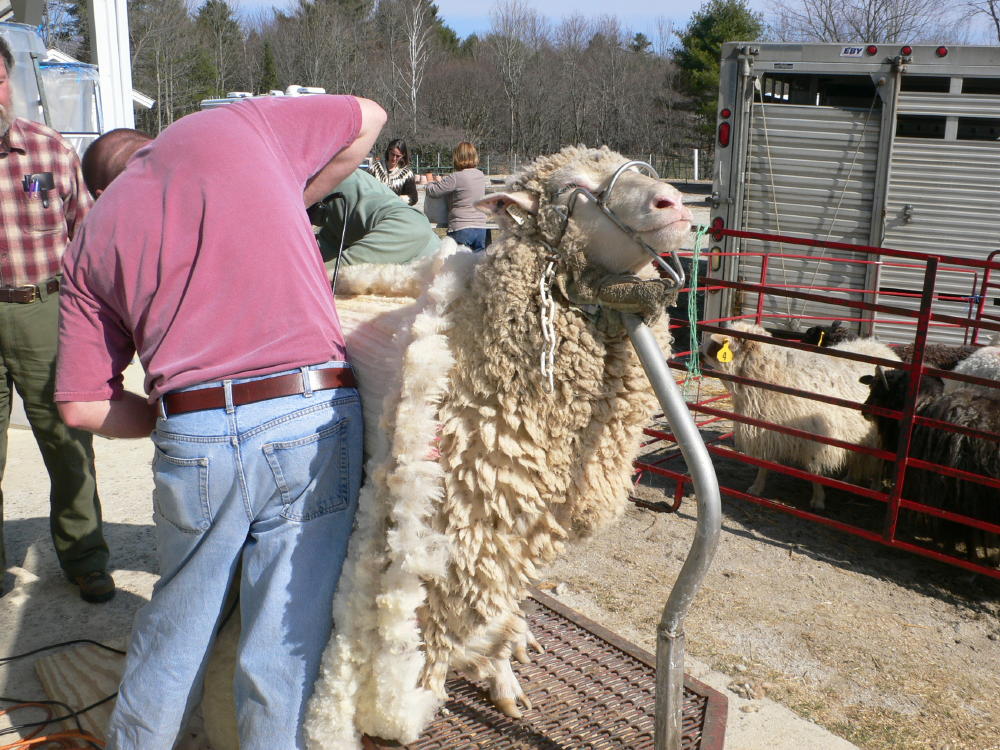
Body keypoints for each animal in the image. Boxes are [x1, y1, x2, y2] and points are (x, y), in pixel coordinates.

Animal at [296, 145, 693, 749]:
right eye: (573, 186)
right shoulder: (459, 533)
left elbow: (496, 606)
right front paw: (437, 693)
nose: (673, 202)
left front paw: (505, 671)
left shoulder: (515, 524)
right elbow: (443, 628)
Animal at [701, 321, 899, 510]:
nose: (699, 353)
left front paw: (818, 500)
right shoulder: (768, 429)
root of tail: (879, 346)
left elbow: (814, 470)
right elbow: (764, 464)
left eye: (716, 346)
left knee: (878, 460)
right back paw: (850, 478)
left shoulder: (816, 436)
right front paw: (756, 488)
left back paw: (875, 485)